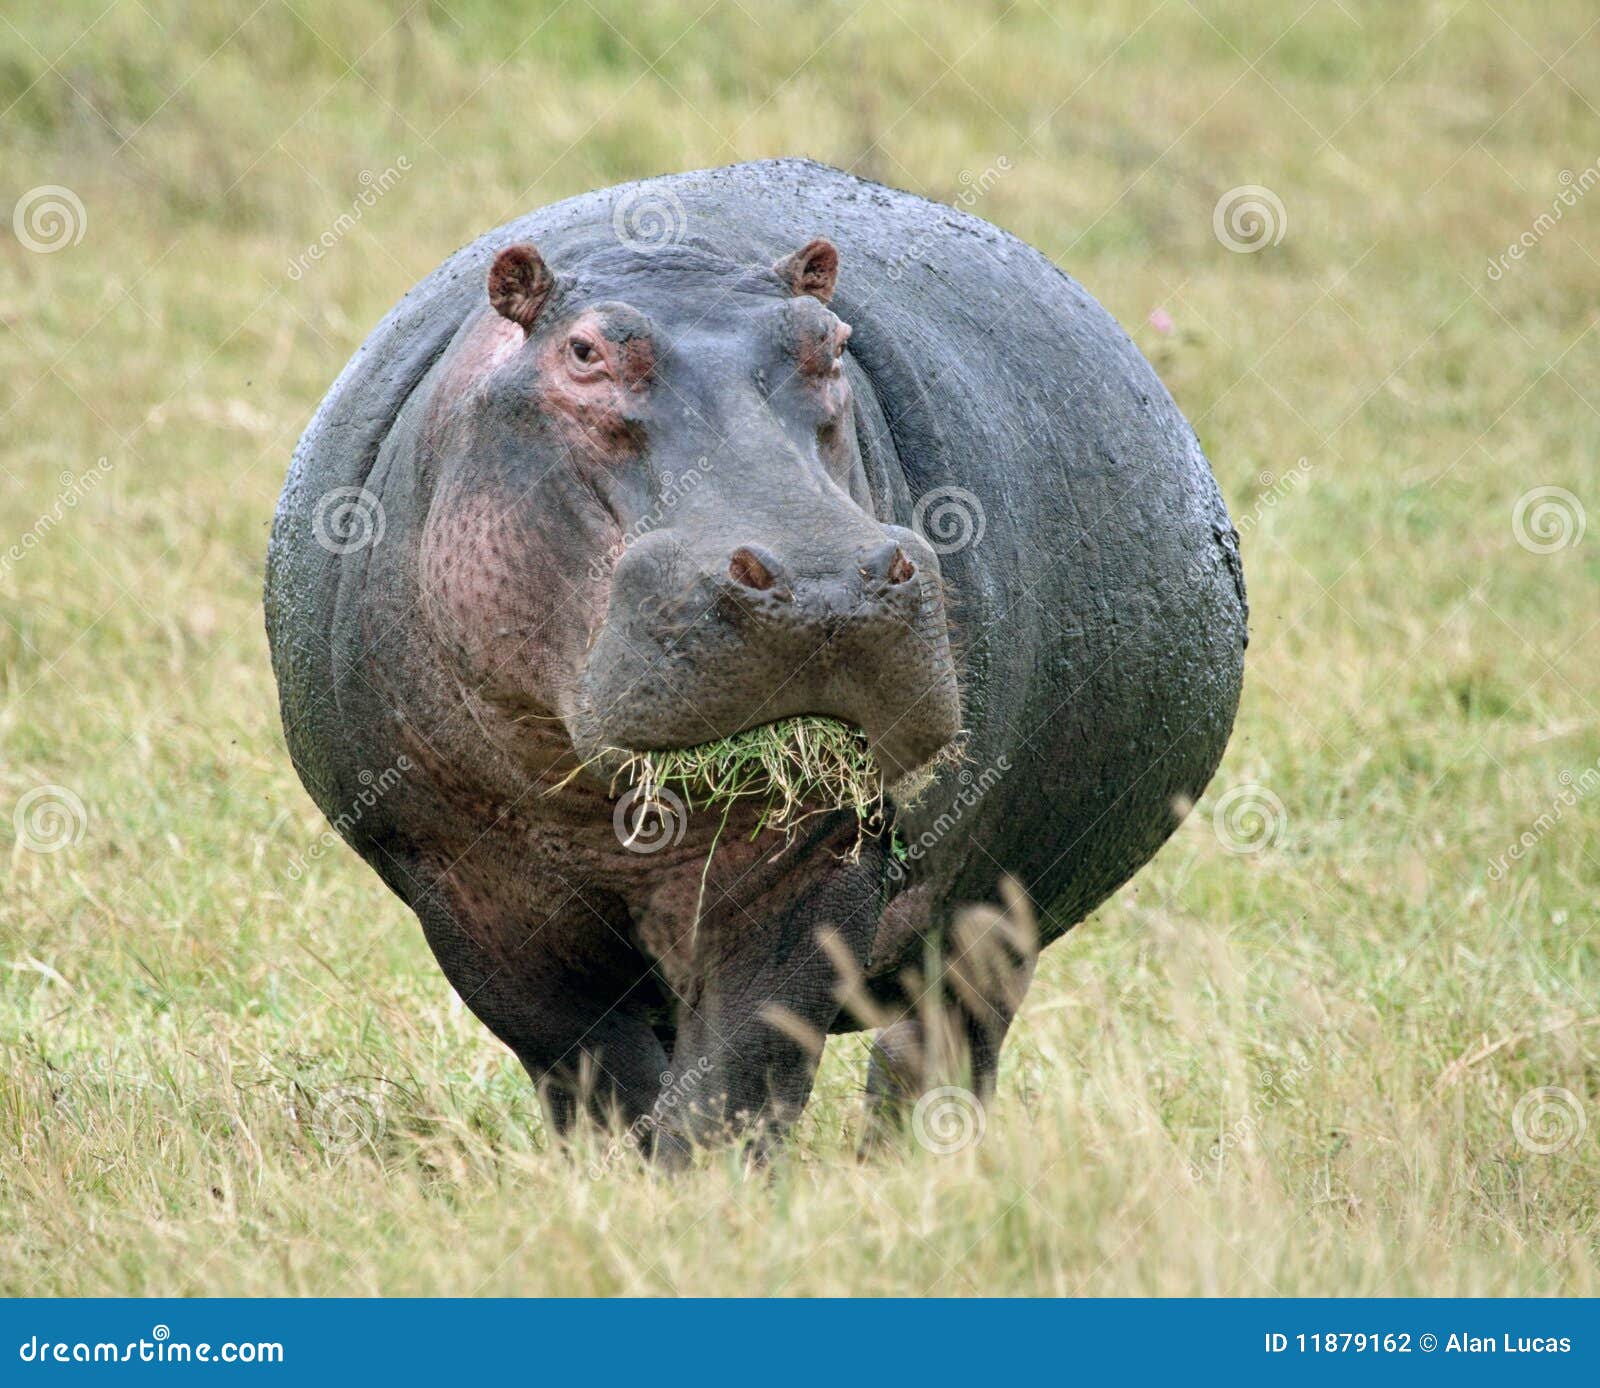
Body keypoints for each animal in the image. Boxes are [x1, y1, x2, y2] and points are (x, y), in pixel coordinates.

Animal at [265, 158, 1246, 1159]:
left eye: (833, 342)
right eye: (583, 352)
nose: (825, 584)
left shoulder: (817, 856)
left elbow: (738, 1074)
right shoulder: (464, 886)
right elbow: (592, 1070)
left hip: (999, 910)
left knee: (940, 1046)